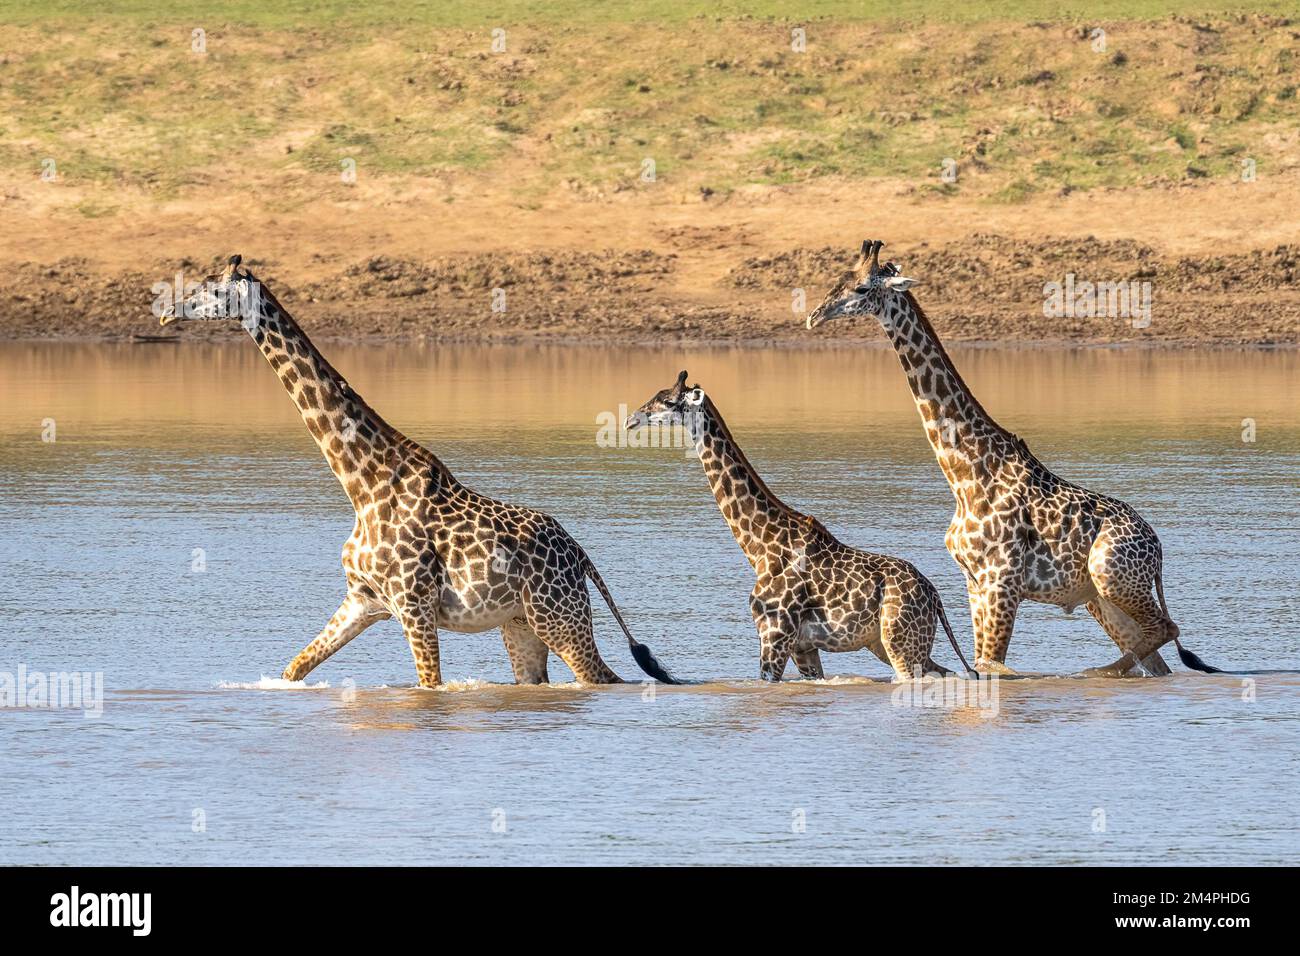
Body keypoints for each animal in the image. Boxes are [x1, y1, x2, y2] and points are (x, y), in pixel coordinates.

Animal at [159, 255, 677, 688]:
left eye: (210, 288)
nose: (165, 312)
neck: (361, 484)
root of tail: (581, 555)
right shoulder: (364, 600)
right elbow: (294, 669)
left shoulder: (414, 607)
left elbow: (430, 686)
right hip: (521, 624)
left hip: (560, 617)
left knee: (604, 677)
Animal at [628, 372, 974, 681]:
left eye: (668, 401)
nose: (631, 419)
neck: (759, 546)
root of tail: (934, 597)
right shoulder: (803, 647)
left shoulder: (775, 636)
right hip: (887, 644)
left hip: (900, 643)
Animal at [806, 239, 1220, 678]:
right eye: (839, 279)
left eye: (862, 287)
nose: (814, 316)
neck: (965, 474)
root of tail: (1157, 550)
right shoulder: (975, 583)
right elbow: (982, 663)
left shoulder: (1001, 583)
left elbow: (991, 664)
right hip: (1100, 598)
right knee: (1157, 658)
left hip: (1113, 576)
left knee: (1166, 628)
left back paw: (1095, 672)